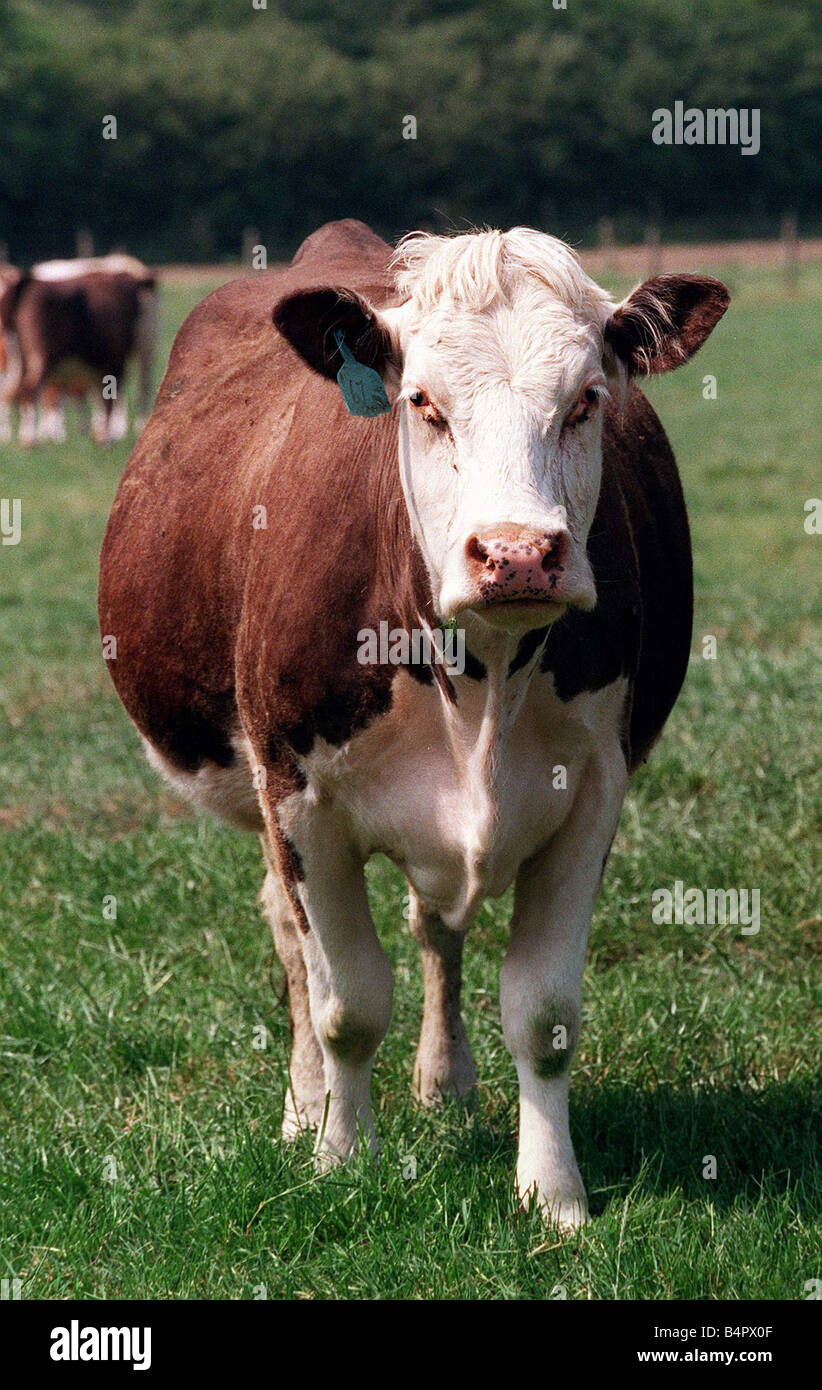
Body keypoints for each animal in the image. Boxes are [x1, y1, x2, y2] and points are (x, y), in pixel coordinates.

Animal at [0, 255, 157, 446]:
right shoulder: (112, 361)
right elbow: (107, 398)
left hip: (22, 359)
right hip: (41, 359)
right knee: (29, 390)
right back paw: (31, 438)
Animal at [98, 219, 728, 1228]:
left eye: (587, 399)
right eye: (424, 402)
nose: (517, 554)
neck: (484, 681)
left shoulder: (594, 792)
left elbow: (544, 1012)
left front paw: (554, 1194)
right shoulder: (300, 799)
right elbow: (346, 1001)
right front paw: (338, 1155)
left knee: (435, 928)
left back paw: (445, 1081)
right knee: (294, 943)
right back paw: (303, 1109)